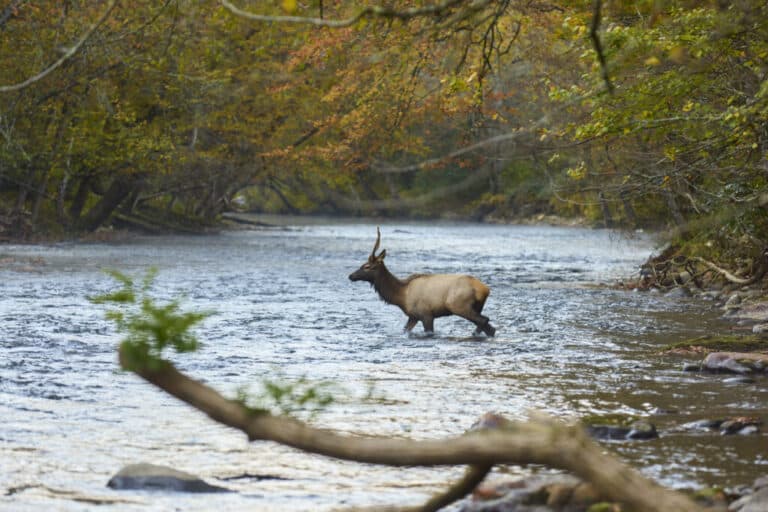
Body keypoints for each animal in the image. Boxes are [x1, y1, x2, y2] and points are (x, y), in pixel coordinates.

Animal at [348, 227, 496, 336]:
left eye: (367, 266)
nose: (351, 276)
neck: (401, 296)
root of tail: (484, 289)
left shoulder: (426, 315)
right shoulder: (413, 316)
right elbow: (405, 330)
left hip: (459, 306)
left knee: (484, 320)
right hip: (476, 307)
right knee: (490, 328)